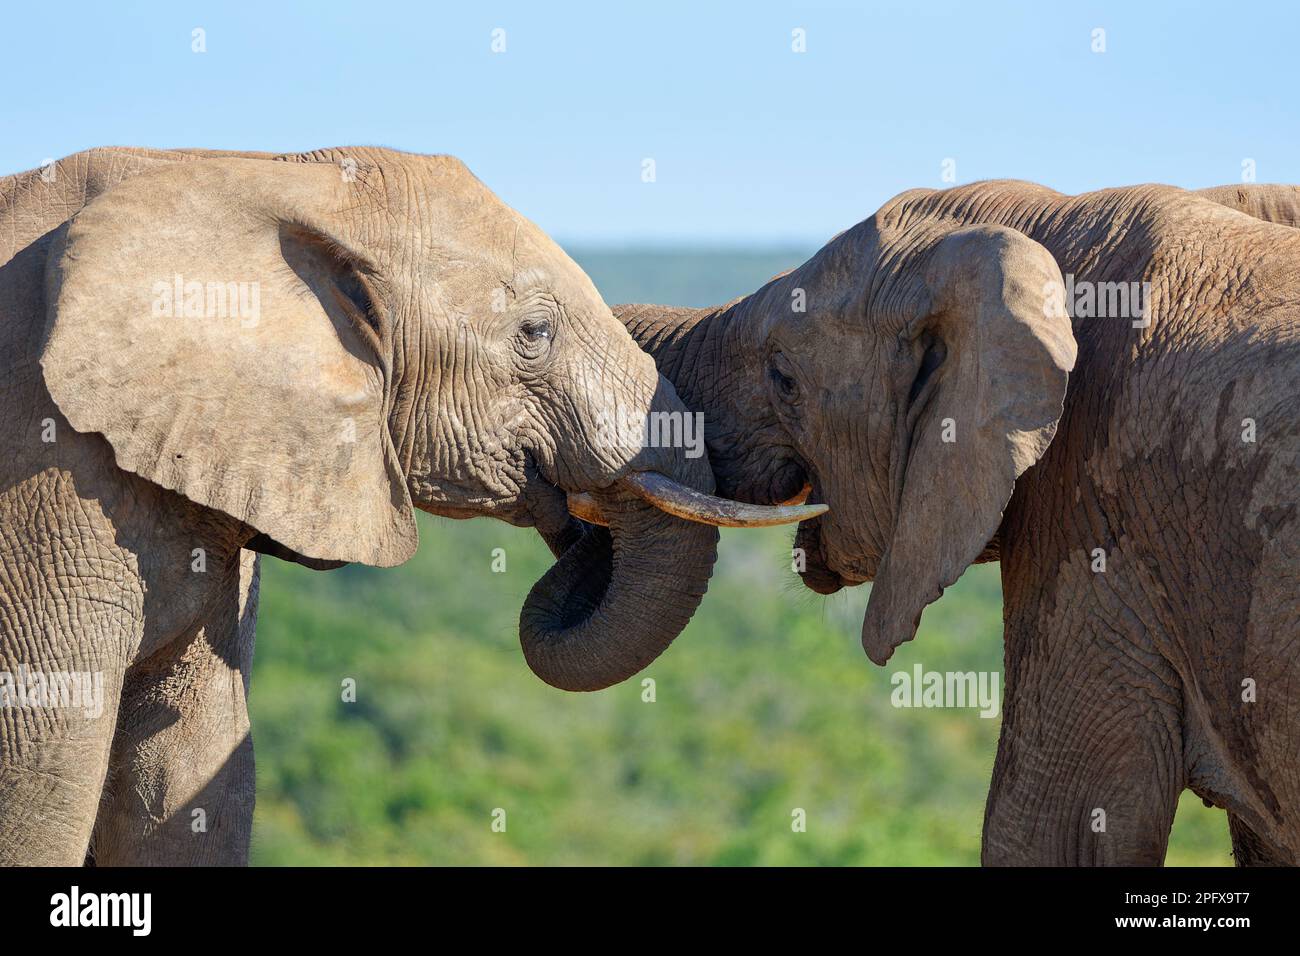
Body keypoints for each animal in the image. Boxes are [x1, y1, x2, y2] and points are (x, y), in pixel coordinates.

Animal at [0, 146, 818, 866]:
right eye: (535, 333)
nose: (578, 514)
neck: (264, 173)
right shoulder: (44, 464)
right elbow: (39, 764)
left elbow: (193, 760)